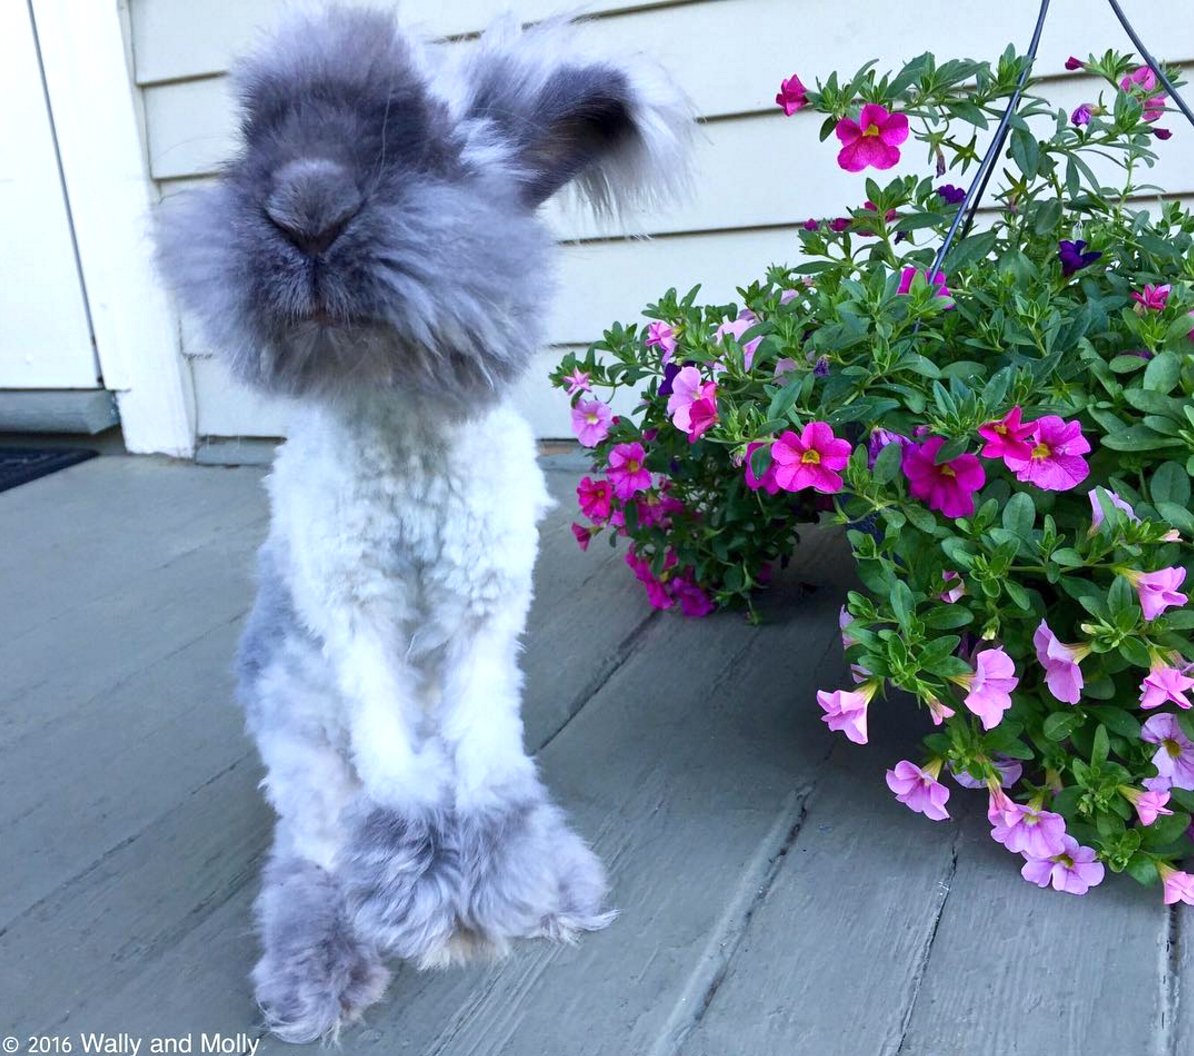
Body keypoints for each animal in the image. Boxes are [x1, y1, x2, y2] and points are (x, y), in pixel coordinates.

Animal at [155, 3, 691, 1043]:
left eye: (423, 150)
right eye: (256, 140)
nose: (307, 210)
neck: (389, 397)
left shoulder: (484, 613)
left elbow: (484, 763)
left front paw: (497, 888)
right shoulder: (353, 615)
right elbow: (392, 771)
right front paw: (423, 899)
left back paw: (562, 884)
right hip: (295, 729)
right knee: (309, 853)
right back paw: (318, 974)